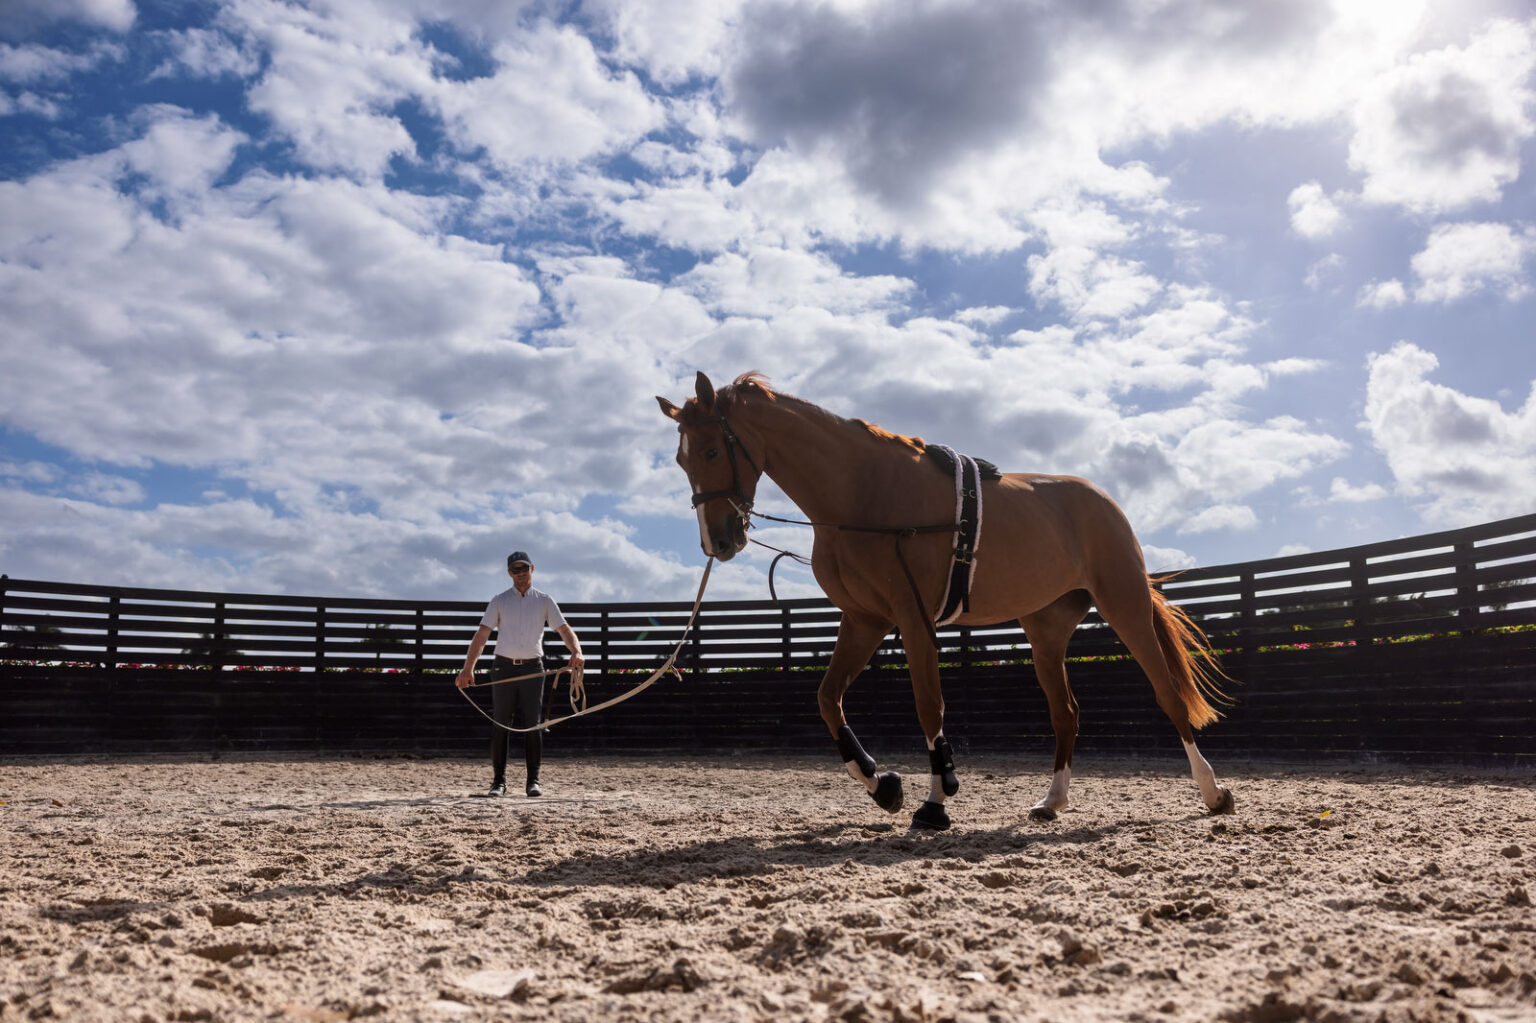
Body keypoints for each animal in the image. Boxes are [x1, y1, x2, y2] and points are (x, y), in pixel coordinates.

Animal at [658, 371, 1234, 830]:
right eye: (682, 460)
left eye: (711, 451)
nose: (718, 542)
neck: (859, 492)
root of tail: (1102, 501)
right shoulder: (864, 620)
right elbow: (827, 698)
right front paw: (883, 786)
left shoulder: (912, 619)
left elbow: (928, 705)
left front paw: (935, 802)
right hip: (1046, 632)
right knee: (1065, 713)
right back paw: (1051, 801)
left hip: (1125, 605)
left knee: (1167, 694)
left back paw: (1212, 793)